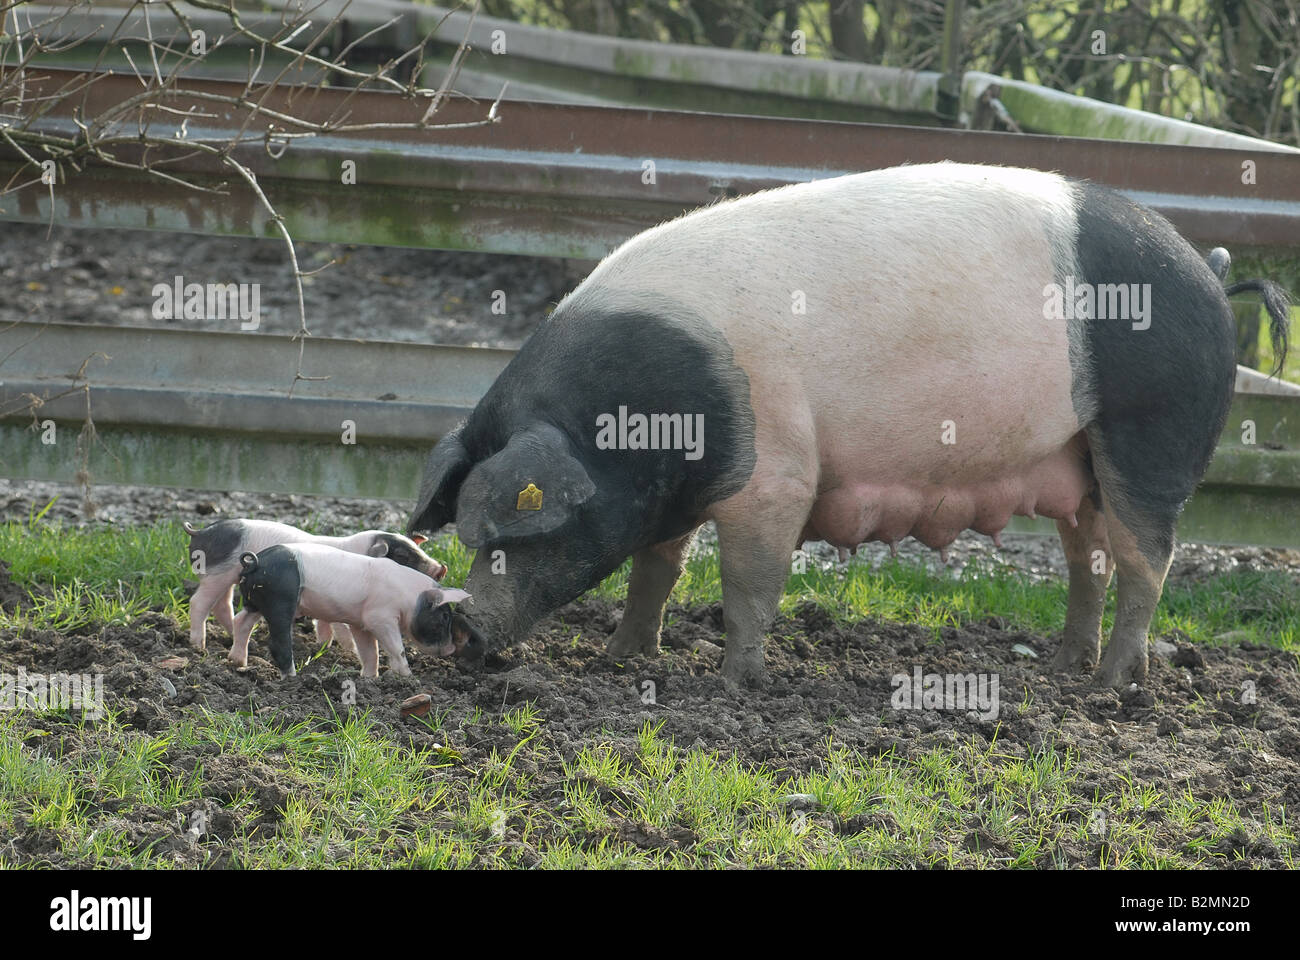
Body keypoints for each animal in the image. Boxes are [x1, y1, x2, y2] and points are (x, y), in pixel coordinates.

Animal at [185, 519, 448, 656]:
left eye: (418, 548)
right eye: (403, 555)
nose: (441, 568)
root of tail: (201, 530)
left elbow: (323, 621)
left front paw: (323, 646)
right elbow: (340, 625)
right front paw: (351, 651)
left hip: (228, 577)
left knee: (222, 605)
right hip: (217, 575)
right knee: (199, 603)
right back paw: (199, 646)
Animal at [230, 543, 470, 678]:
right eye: (444, 616)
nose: (452, 649)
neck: (411, 599)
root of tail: (254, 562)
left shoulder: (360, 623)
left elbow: (369, 651)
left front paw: (370, 679)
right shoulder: (380, 618)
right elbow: (396, 648)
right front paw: (409, 678)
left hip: (255, 602)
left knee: (241, 621)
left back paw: (238, 663)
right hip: (280, 602)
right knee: (278, 643)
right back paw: (292, 678)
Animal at [406, 162, 1291, 688]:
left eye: (514, 535)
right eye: (465, 535)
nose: (453, 623)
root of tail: (1211, 274)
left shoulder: (775, 476)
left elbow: (748, 583)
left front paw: (734, 683)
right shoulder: (675, 489)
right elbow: (658, 568)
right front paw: (622, 657)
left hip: (1155, 434)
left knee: (1149, 558)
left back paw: (1109, 686)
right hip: (1076, 458)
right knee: (1089, 555)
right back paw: (1065, 666)